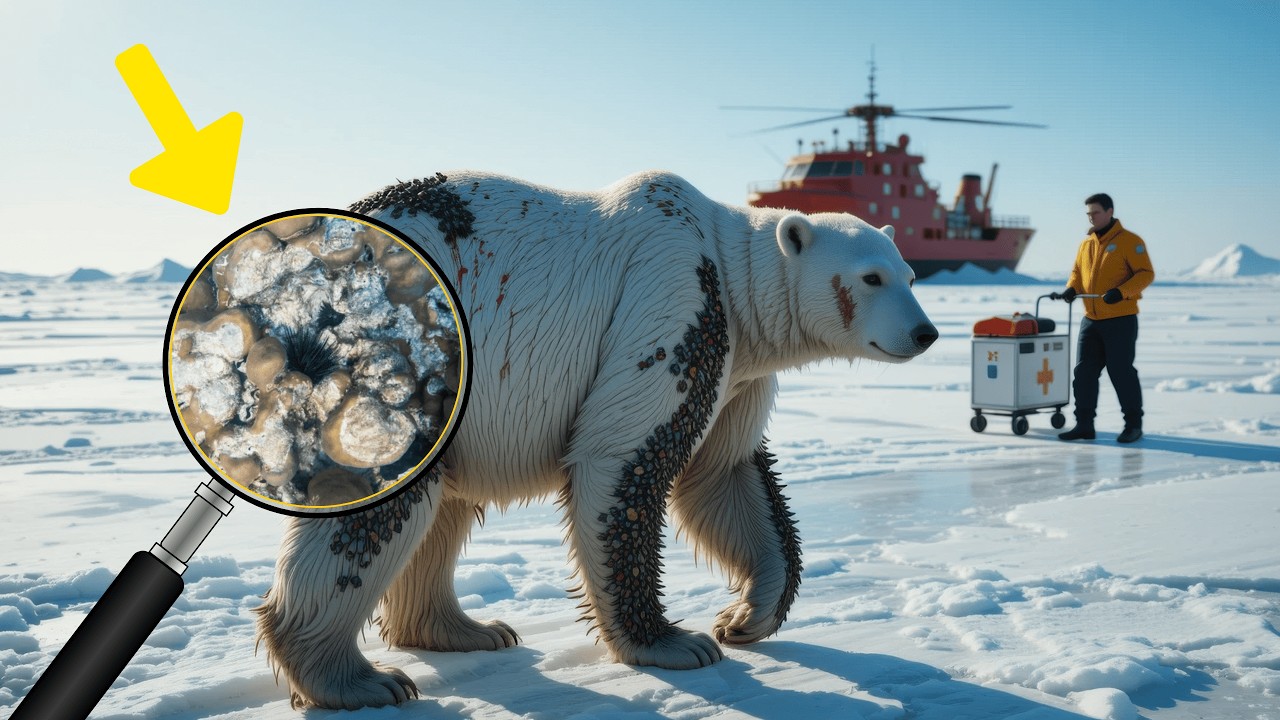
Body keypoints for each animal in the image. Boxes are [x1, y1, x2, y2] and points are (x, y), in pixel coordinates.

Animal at [254, 170, 937, 709]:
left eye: (907, 273)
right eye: (871, 278)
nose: (926, 332)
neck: (726, 267)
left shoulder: (739, 368)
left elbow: (724, 473)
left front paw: (746, 616)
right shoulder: (672, 303)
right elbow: (624, 453)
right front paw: (676, 643)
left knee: (445, 504)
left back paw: (469, 630)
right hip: (398, 351)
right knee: (384, 504)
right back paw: (356, 680)